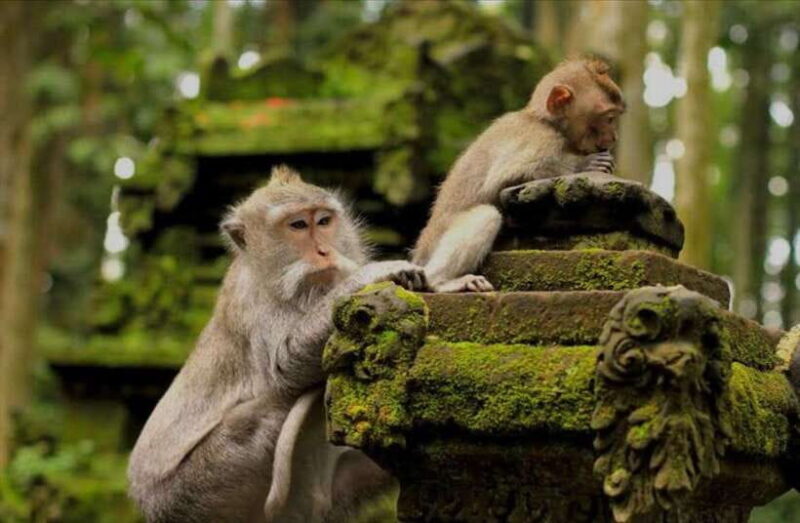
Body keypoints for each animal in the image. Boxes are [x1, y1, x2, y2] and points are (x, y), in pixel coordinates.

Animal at [128, 166, 426, 523]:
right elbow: (284, 367)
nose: (324, 252)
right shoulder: (253, 302)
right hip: (197, 490)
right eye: (297, 226)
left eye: (323, 221)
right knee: (265, 412)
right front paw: (373, 274)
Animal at [413, 58, 625, 293]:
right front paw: (584, 164)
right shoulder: (541, 139)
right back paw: (440, 282)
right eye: (609, 118)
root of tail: (420, 255)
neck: (543, 120)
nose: (614, 137)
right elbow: (504, 179)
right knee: (487, 214)